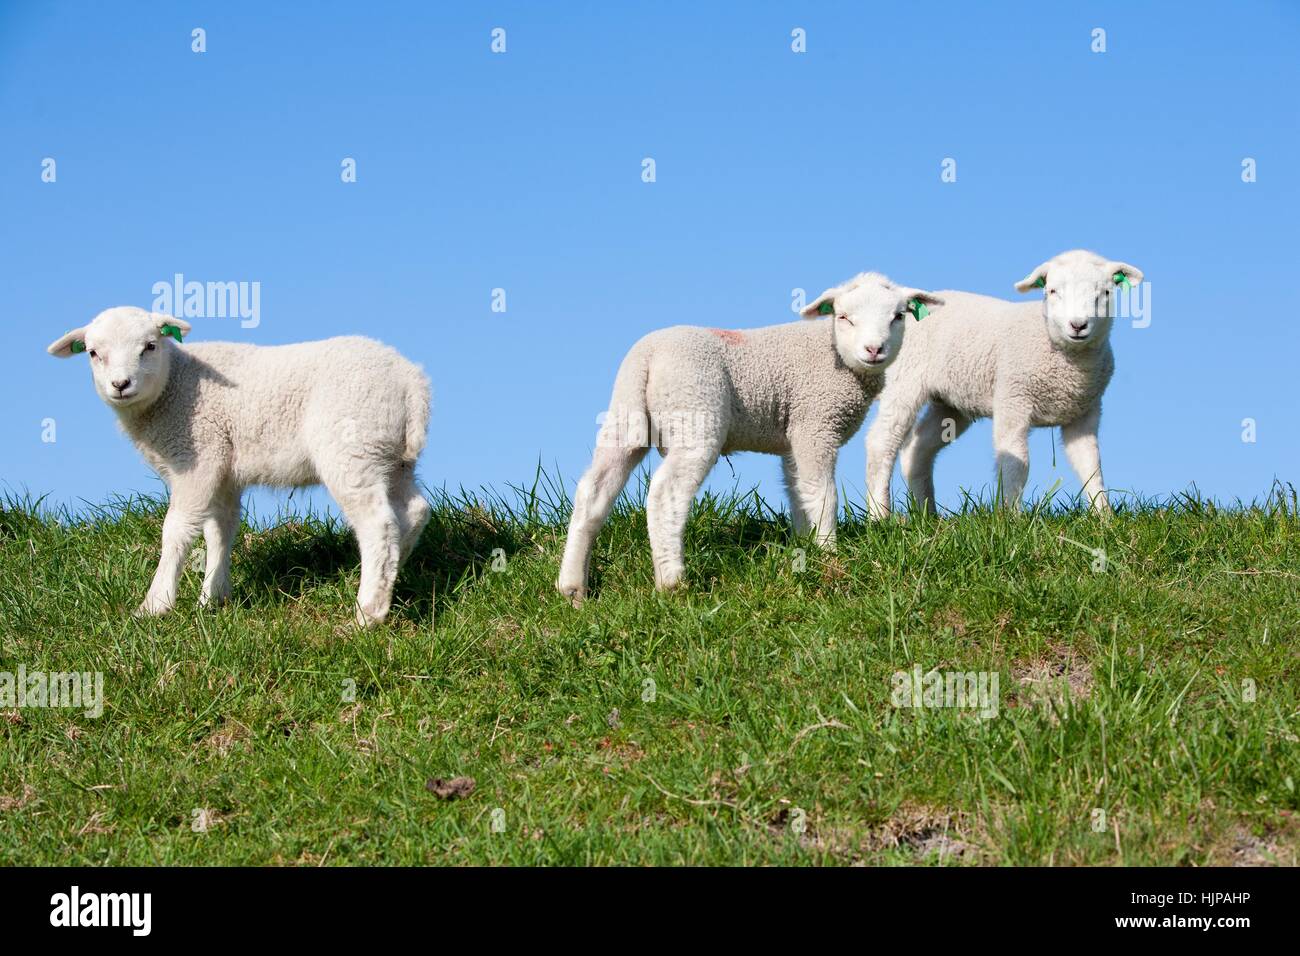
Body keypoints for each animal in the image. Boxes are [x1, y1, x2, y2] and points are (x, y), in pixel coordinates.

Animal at [47, 306, 432, 626]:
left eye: (150, 346)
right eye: (93, 353)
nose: (120, 385)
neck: (174, 385)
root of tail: (411, 382)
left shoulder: (198, 457)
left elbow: (176, 530)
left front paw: (155, 605)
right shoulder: (224, 471)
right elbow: (220, 530)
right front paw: (212, 599)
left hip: (352, 445)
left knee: (378, 523)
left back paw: (367, 613)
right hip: (391, 455)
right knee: (414, 511)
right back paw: (391, 576)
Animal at [555, 274, 945, 605]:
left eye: (898, 317)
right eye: (844, 317)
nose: (874, 349)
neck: (832, 353)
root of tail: (647, 356)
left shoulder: (793, 437)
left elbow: (799, 493)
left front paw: (805, 547)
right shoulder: (814, 424)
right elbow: (824, 495)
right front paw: (830, 553)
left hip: (624, 418)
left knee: (593, 491)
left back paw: (573, 588)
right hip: (696, 413)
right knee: (666, 493)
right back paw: (672, 581)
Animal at [864, 249, 1144, 518]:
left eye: (1105, 292)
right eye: (1052, 291)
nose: (1078, 325)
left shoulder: (1085, 413)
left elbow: (1091, 465)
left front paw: (1104, 518)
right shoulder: (1013, 398)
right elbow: (1016, 463)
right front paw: (1012, 517)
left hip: (952, 403)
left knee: (917, 449)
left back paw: (926, 515)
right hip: (903, 382)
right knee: (881, 442)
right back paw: (879, 514)